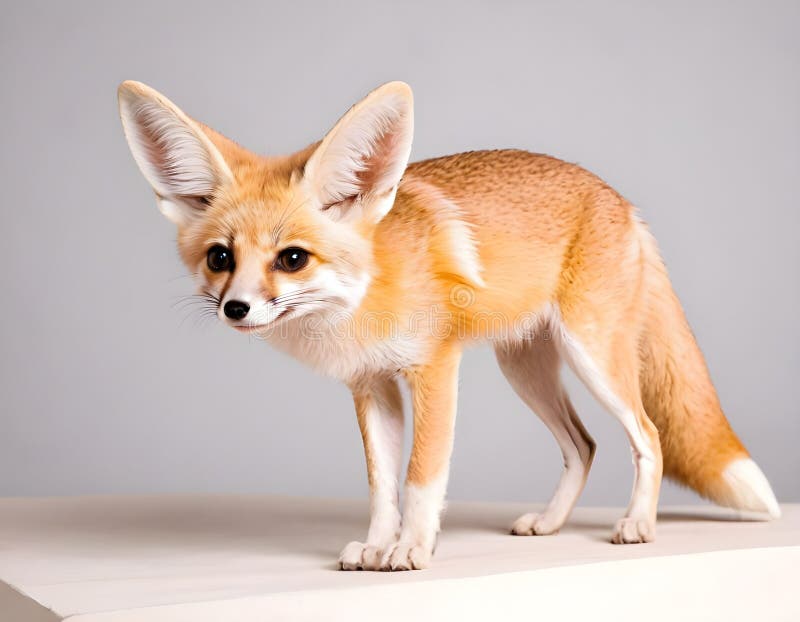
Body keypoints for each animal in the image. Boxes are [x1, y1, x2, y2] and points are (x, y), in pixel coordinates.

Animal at [117, 80, 780, 571]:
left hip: (594, 358)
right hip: (526, 370)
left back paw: (638, 523)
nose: (236, 309)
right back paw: (550, 523)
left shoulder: (435, 369)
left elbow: (421, 477)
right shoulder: (371, 386)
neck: (366, 300)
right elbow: (381, 485)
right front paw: (377, 546)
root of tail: (618, 198)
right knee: (584, 445)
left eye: (292, 258)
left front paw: (411, 548)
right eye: (220, 258)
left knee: (649, 435)